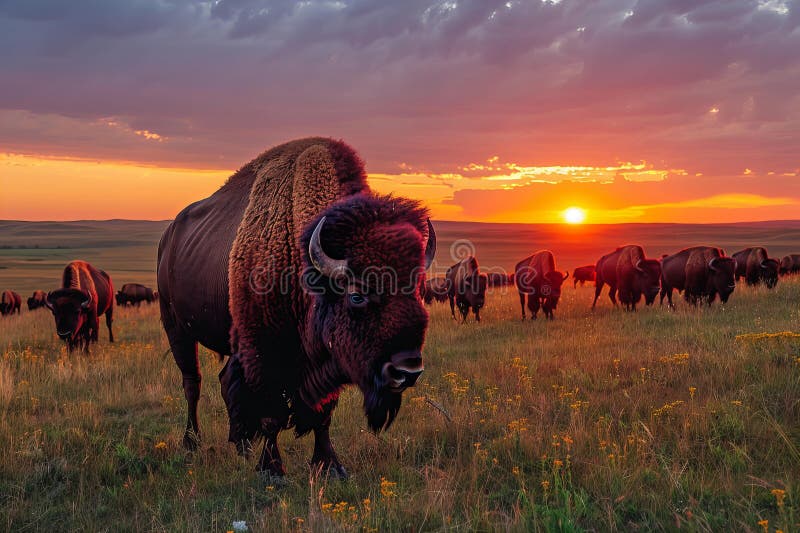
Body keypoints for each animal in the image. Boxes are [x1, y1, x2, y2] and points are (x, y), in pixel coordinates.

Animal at [157, 138, 435, 478]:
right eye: (357, 295)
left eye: (419, 290)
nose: (407, 371)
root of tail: (168, 237)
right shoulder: (265, 357)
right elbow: (271, 415)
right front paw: (273, 471)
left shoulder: (327, 358)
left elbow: (323, 413)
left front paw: (330, 466)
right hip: (176, 327)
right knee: (192, 383)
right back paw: (192, 442)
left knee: (222, 381)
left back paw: (241, 446)